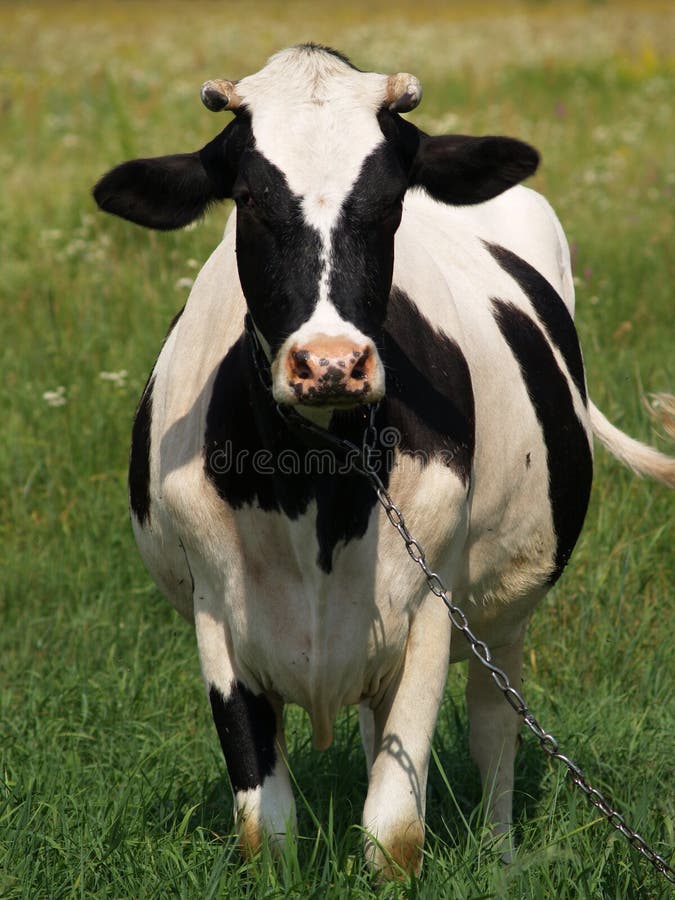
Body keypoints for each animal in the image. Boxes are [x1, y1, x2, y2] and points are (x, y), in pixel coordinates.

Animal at [93, 44, 674, 877]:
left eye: (391, 197)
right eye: (248, 196)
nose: (330, 363)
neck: (314, 483)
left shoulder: (430, 603)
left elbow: (393, 829)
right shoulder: (215, 612)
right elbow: (265, 830)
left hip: (502, 612)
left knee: (496, 729)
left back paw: (500, 857)